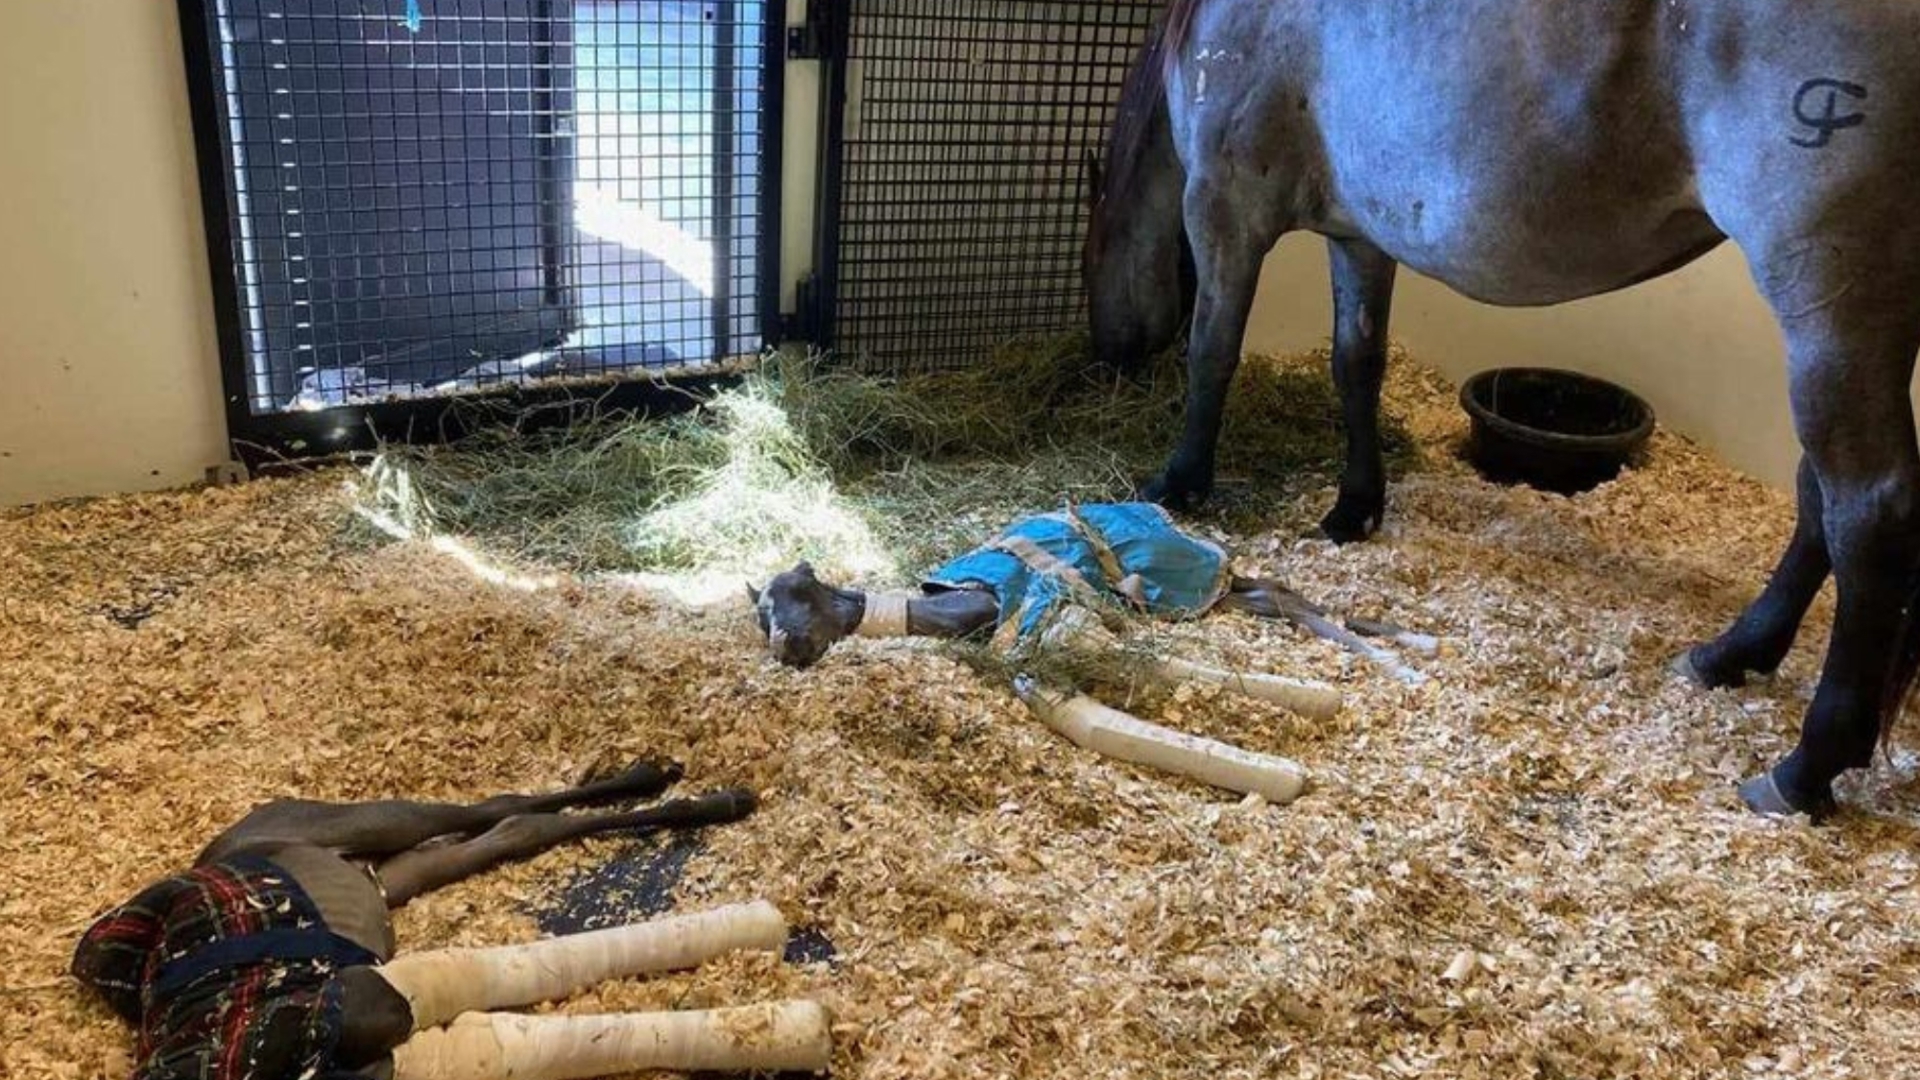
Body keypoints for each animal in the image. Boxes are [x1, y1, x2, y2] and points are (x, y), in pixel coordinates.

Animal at [1083, 0, 1920, 818]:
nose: (1104, 354)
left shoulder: (1225, 207)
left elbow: (1213, 352)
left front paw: (1181, 483)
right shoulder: (1357, 232)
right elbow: (1356, 365)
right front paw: (1354, 508)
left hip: (1830, 310)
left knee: (1866, 508)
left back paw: (1806, 765)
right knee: (1819, 498)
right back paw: (1733, 655)